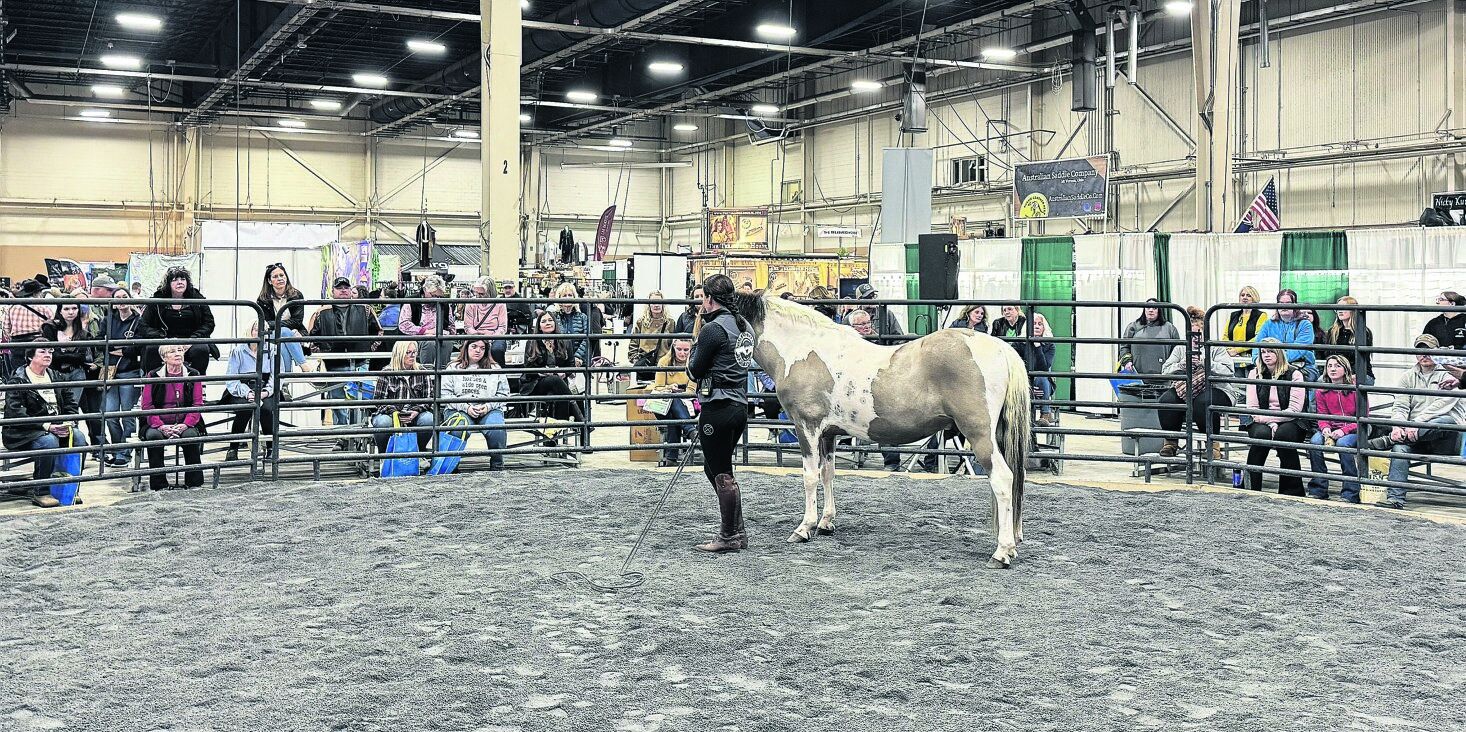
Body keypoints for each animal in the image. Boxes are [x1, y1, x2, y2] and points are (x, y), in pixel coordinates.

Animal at [731, 292, 1031, 568]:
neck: (803, 350)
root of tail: (1001, 349)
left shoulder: (808, 427)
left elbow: (809, 477)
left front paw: (804, 528)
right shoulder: (828, 434)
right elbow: (828, 474)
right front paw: (826, 522)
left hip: (980, 435)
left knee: (1003, 479)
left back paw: (1002, 552)